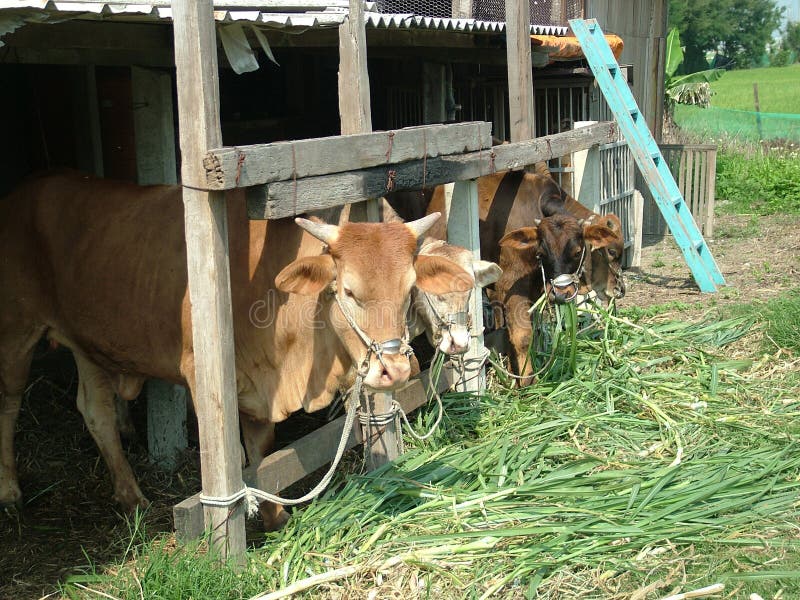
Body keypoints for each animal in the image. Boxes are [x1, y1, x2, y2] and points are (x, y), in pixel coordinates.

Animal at [0, 170, 474, 529]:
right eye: (349, 292)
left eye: (409, 291)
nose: (395, 371)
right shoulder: (205, 377)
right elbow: (238, 460)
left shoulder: (261, 392)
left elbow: (262, 455)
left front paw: (274, 514)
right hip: (17, 332)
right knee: (10, 405)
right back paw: (10, 491)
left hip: (89, 343)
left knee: (95, 413)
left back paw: (131, 496)